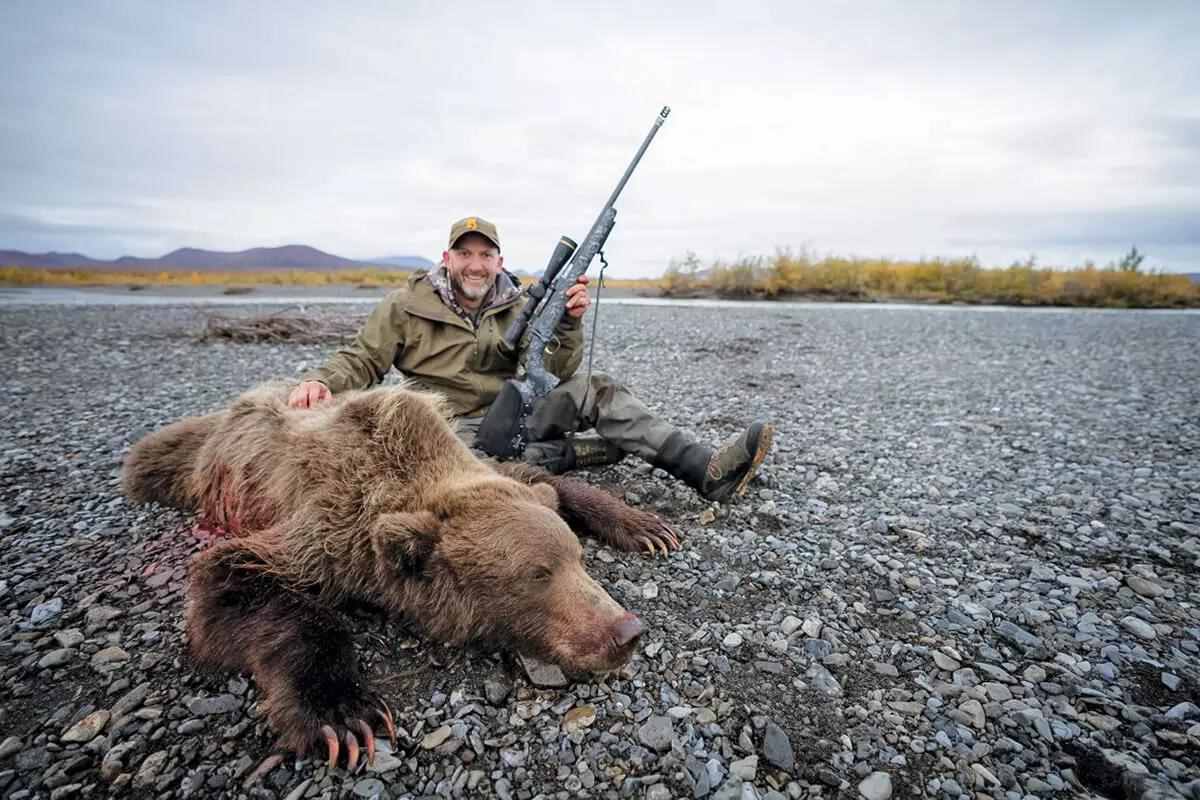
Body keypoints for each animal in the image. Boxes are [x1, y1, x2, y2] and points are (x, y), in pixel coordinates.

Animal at [121, 381, 680, 774]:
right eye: (536, 575)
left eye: (577, 561)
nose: (626, 632)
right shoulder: (327, 529)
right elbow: (233, 577)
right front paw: (343, 713)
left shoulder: (482, 473)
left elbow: (544, 481)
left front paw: (645, 526)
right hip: (194, 464)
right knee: (153, 458)